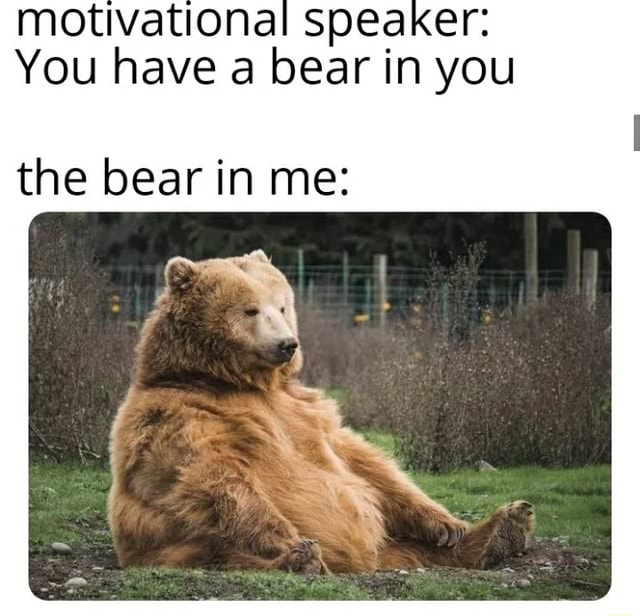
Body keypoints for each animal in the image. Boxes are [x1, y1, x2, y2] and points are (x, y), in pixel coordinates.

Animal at [107, 250, 535, 573]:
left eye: (282, 305)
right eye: (250, 310)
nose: (287, 344)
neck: (236, 381)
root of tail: (367, 561)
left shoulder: (305, 411)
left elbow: (364, 462)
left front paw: (447, 524)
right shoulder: (179, 416)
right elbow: (213, 477)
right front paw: (291, 542)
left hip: (393, 543)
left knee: (418, 547)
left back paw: (504, 528)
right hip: (178, 545)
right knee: (223, 551)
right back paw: (300, 559)